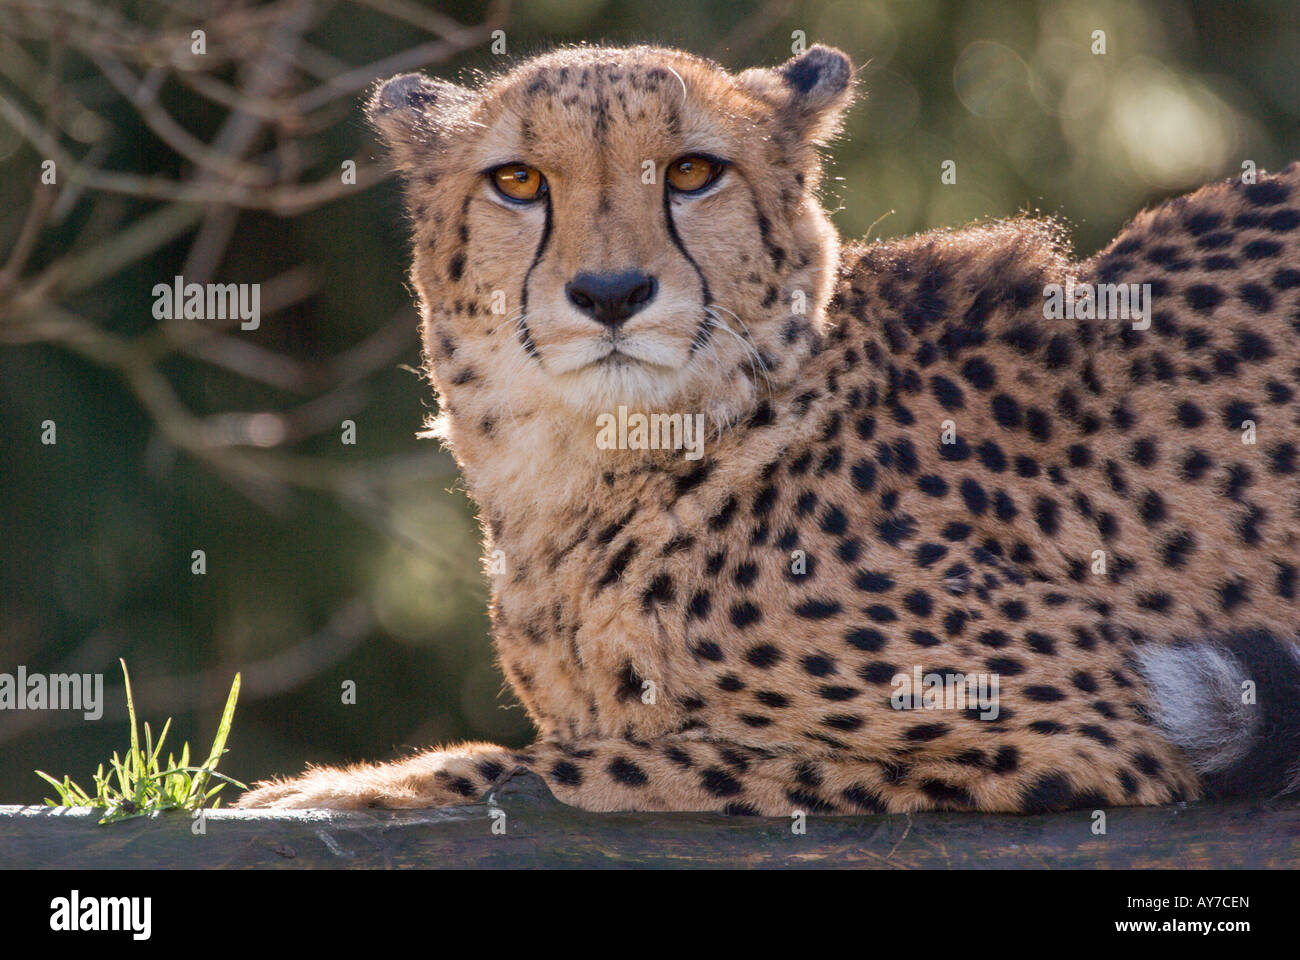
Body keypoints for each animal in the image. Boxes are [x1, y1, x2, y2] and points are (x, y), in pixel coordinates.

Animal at [237, 43, 1300, 815]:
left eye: (693, 171)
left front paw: (344, 789)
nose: (612, 293)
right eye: (520, 182)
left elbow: (584, 767)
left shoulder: (1093, 733)